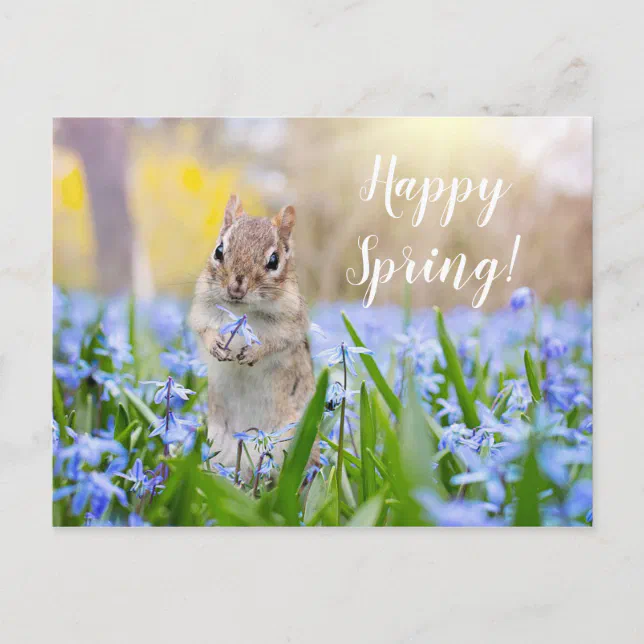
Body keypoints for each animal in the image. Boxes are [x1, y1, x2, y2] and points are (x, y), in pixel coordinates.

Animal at [189, 194, 316, 477]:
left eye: (274, 260)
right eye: (219, 250)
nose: (236, 287)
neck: (240, 310)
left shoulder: (290, 324)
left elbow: (275, 343)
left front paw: (253, 353)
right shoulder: (201, 312)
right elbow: (204, 330)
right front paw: (216, 346)